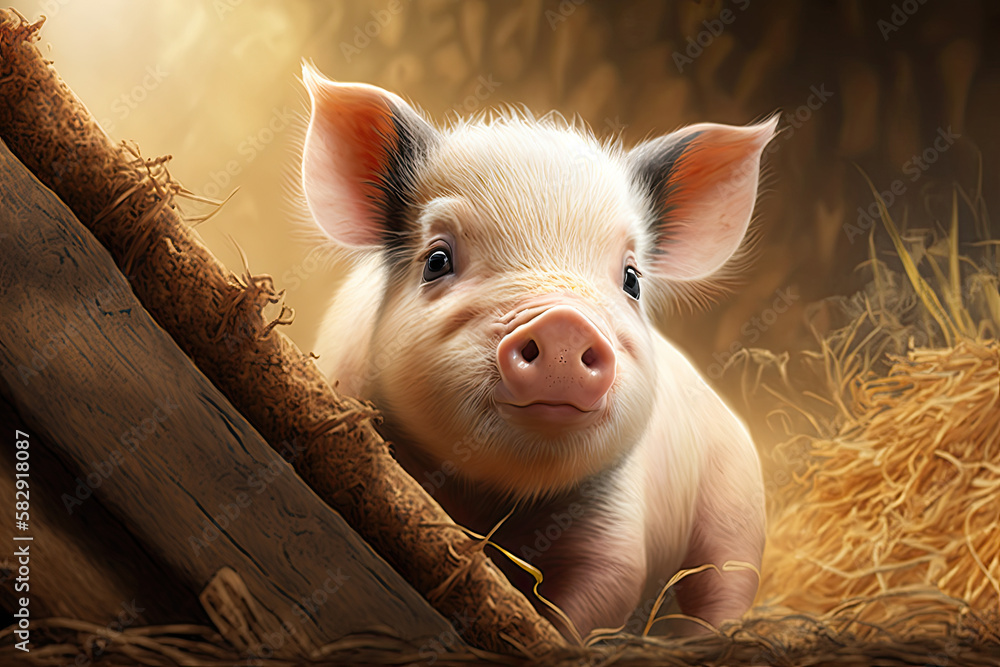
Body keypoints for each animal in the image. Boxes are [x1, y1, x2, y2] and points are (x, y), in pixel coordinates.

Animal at [300, 62, 773, 638]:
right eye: (437, 259)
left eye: (632, 280)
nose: (565, 324)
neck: (488, 500)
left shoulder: (615, 518)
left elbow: (600, 591)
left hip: (737, 517)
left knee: (721, 592)